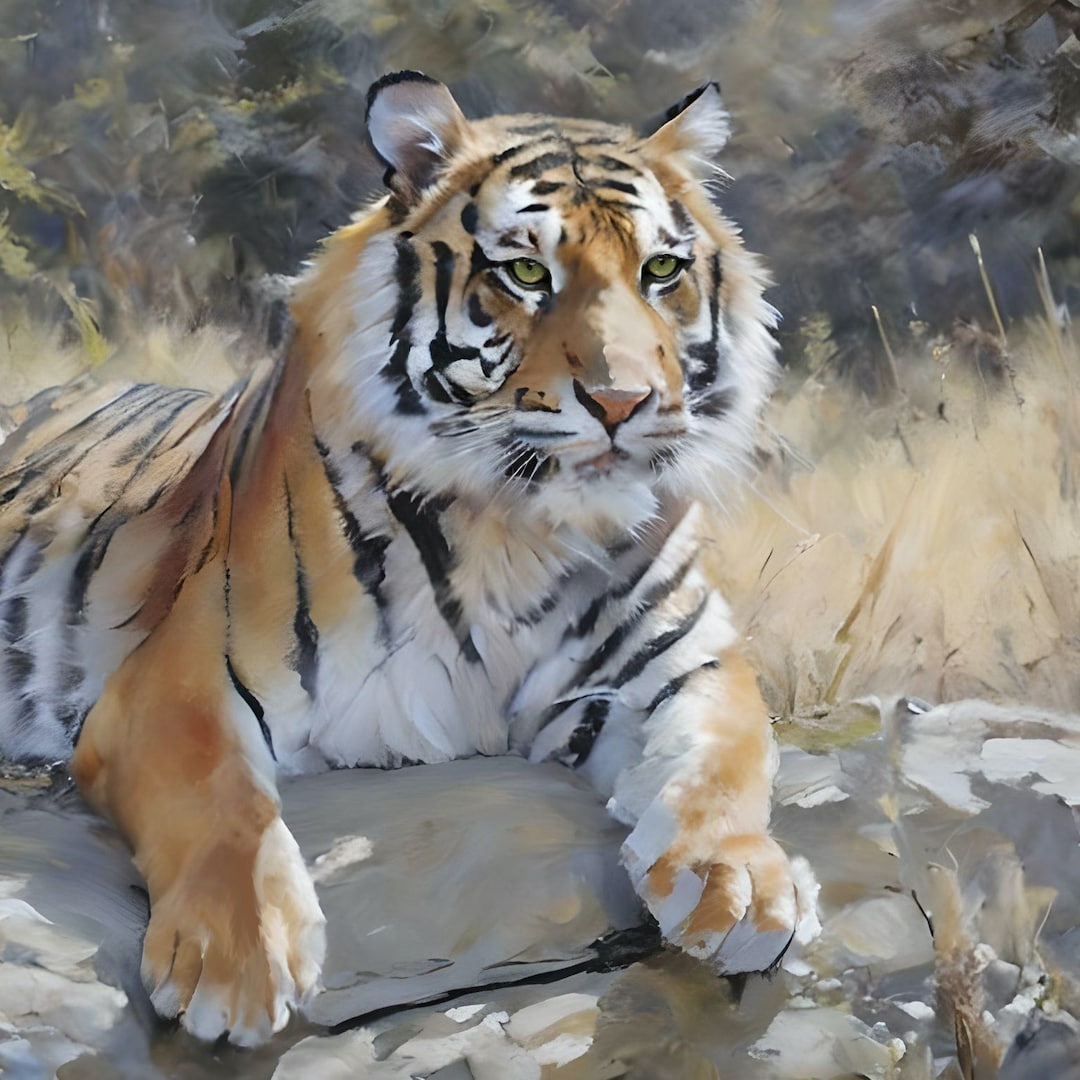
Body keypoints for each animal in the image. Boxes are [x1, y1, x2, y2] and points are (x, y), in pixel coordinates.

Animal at [0, 71, 818, 1045]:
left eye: (662, 271)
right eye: (526, 272)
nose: (624, 402)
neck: (521, 531)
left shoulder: (681, 660)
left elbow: (729, 753)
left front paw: (741, 886)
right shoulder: (176, 682)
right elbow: (222, 798)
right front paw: (234, 961)